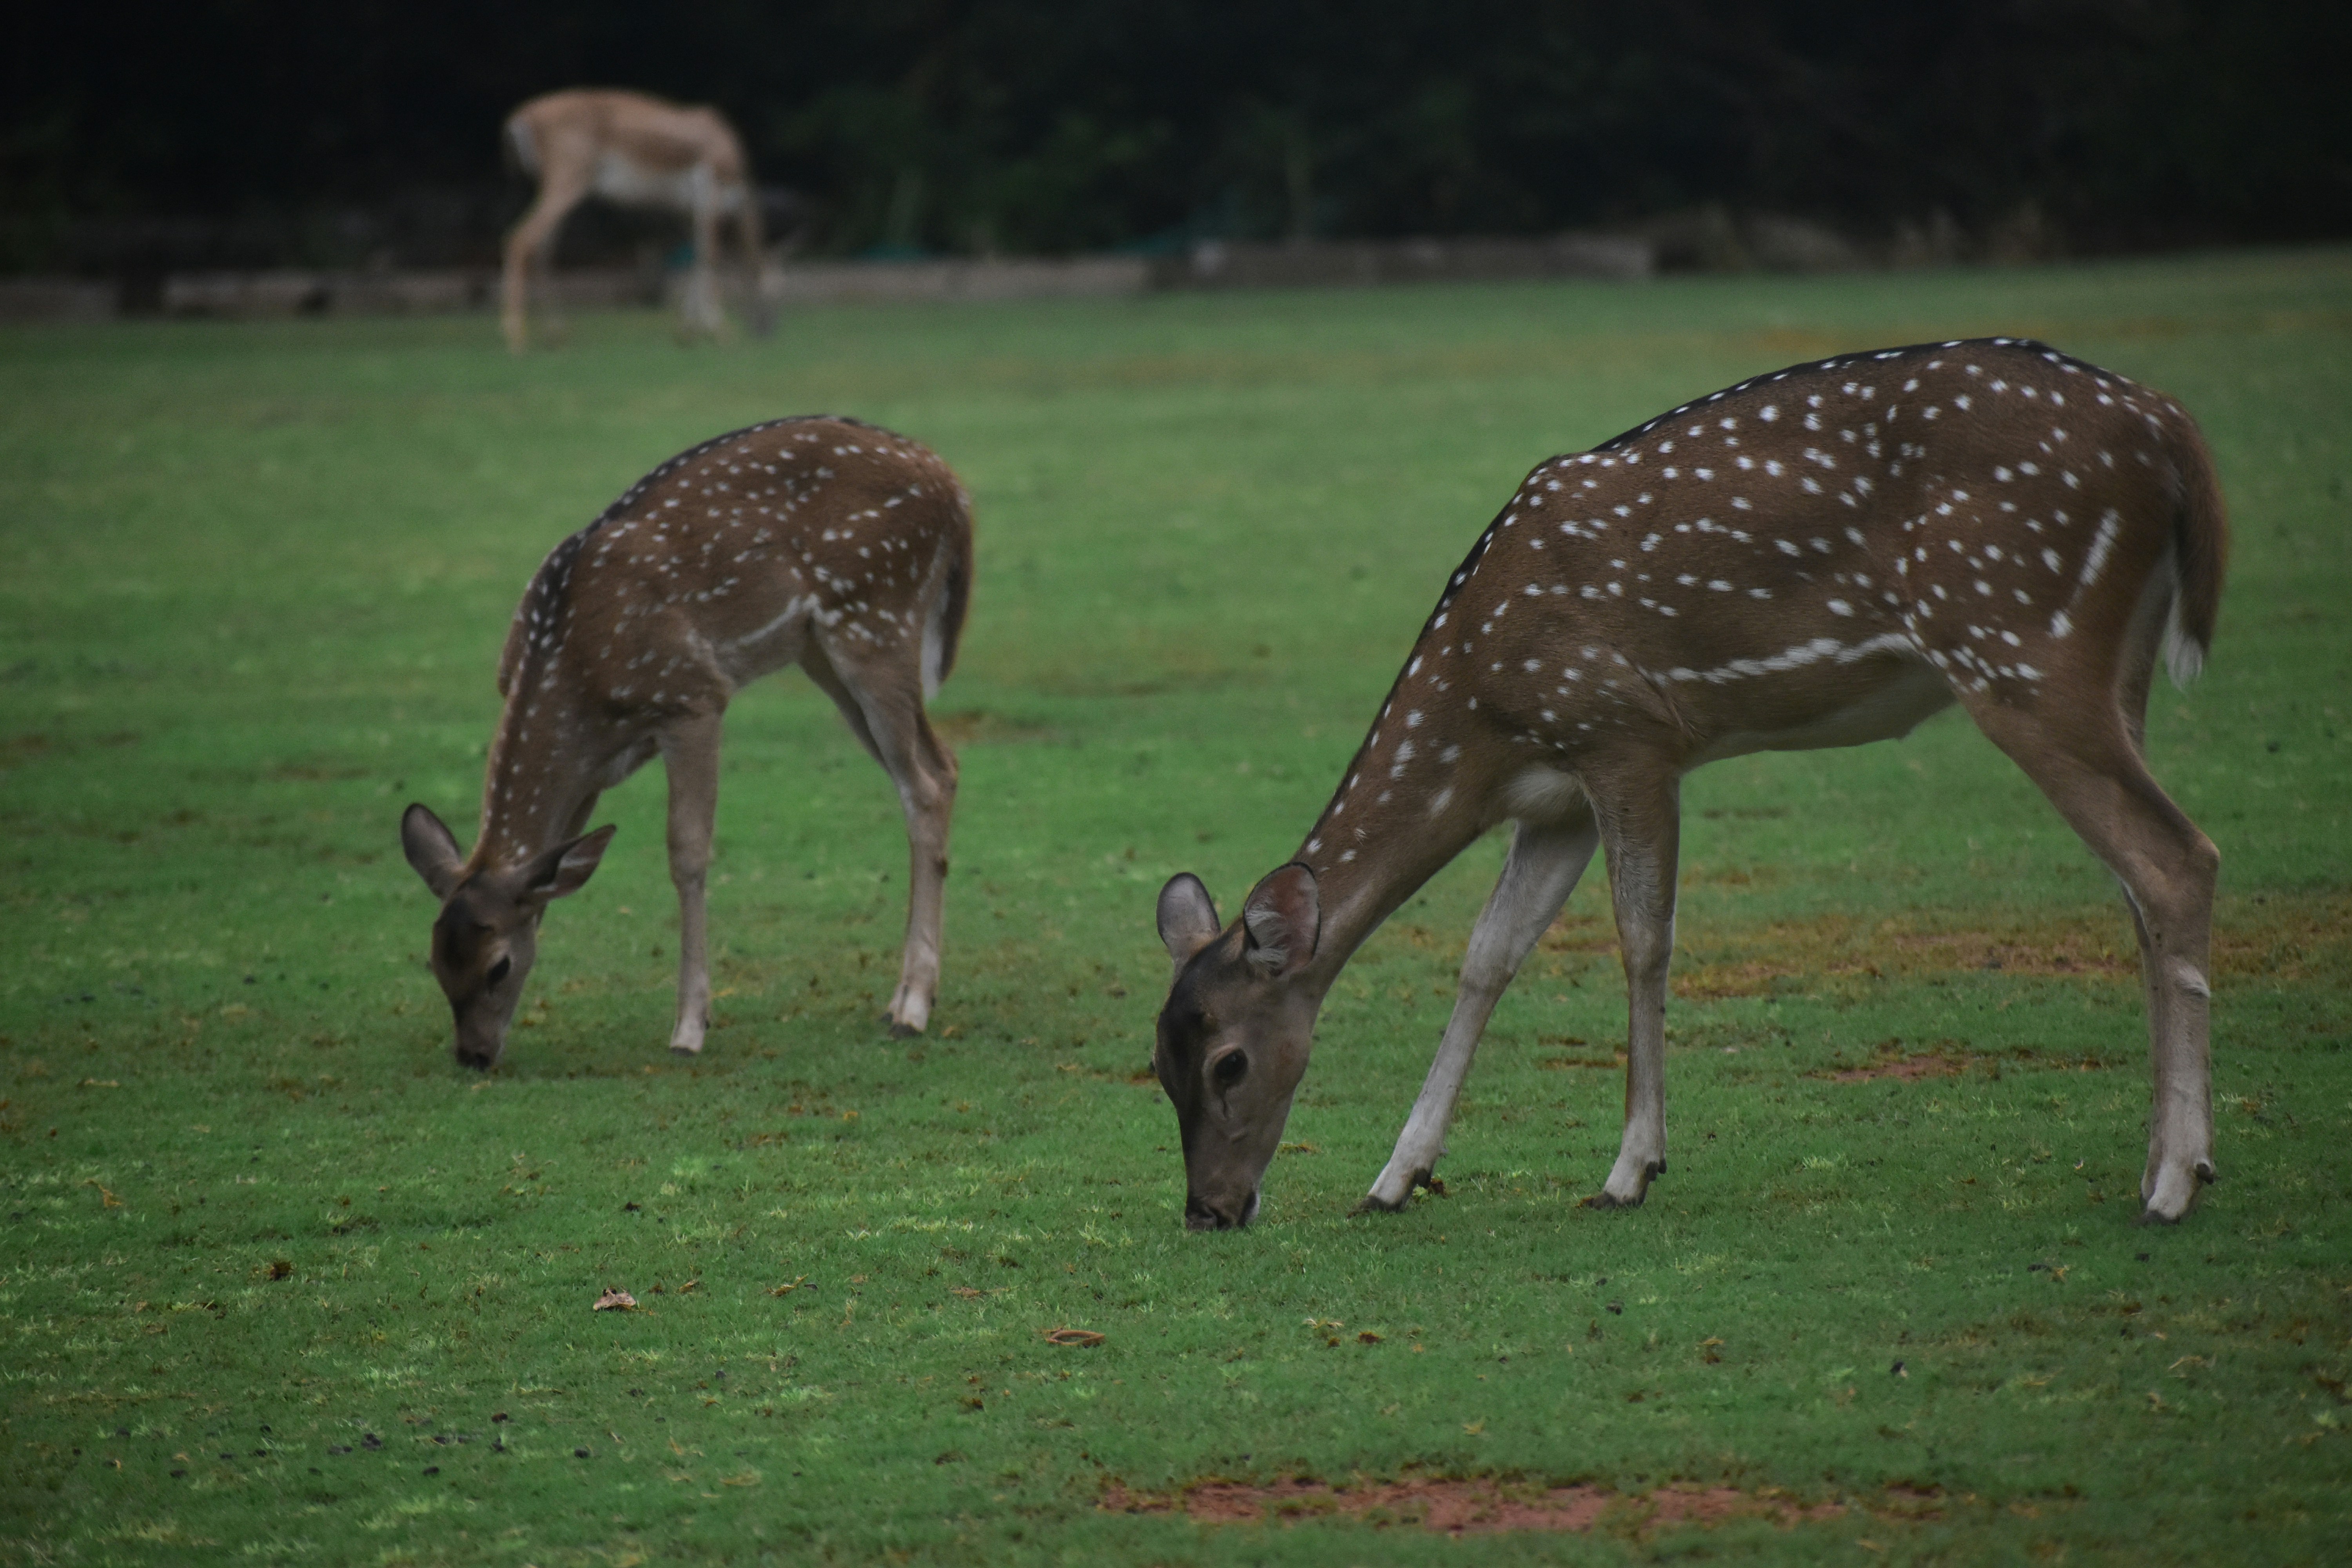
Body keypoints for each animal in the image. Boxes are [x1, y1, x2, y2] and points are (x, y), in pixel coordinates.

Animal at [401, 416, 972, 1070]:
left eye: (498, 967)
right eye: (435, 963)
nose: (472, 1054)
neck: (575, 684)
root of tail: (953, 486)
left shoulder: (692, 697)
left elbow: (687, 851)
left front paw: (690, 1027)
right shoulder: (593, 768)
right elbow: (550, 881)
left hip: (877, 616)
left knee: (924, 781)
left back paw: (913, 1009)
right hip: (822, 651)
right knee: (942, 764)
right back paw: (899, 999)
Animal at [500, 89, 772, 353]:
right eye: (775, 291)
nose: (768, 330)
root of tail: (522, 118)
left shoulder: (687, 212)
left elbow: (697, 257)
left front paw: (688, 332)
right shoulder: (711, 195)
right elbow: (711, 257)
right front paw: (719, 331)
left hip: (551, 185)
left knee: (542, 247)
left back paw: (555, 334)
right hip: (569, 178)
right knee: (522, 238)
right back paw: (517, 339)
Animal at [1153, 338, 2227, 1232]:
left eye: (1227, 1060)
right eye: (1158, 1064)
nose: (1209, 1209)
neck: (1482, 709)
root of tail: (2173, 429)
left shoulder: (1626, 733)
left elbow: (1642, 939)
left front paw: (1632, 1167)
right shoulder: (1555, 795)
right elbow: (1489, 953)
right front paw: (1395, 1175)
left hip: (2020, 642)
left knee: (2178, 858)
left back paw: (2174, 1182)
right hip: (2113, 667)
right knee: (2140, 883)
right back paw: (2164, 1164)